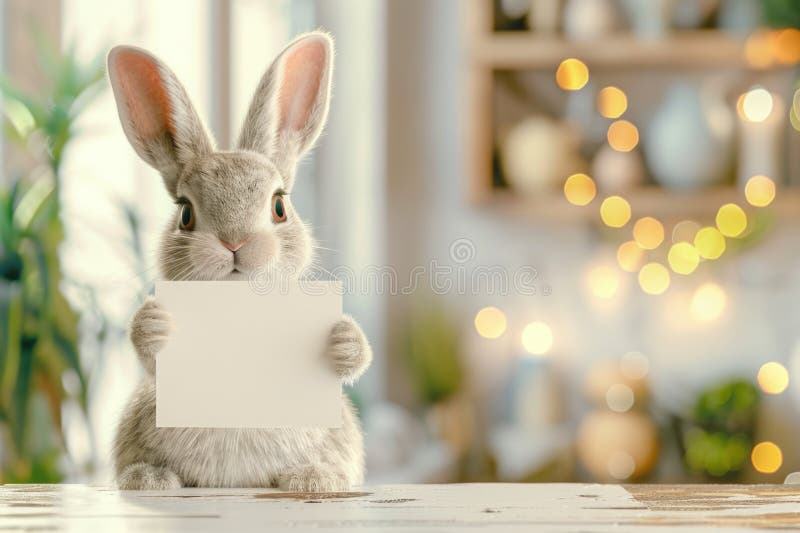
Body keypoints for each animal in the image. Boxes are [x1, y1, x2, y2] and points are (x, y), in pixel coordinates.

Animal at [108, 32, 372, 491]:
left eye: (280, 206)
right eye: (185, 213)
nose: (235, 241)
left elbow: (356, 356)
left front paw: (343, 341)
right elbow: (148, 351)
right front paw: (155, 324)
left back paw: (314, 478)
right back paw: (150, 478)